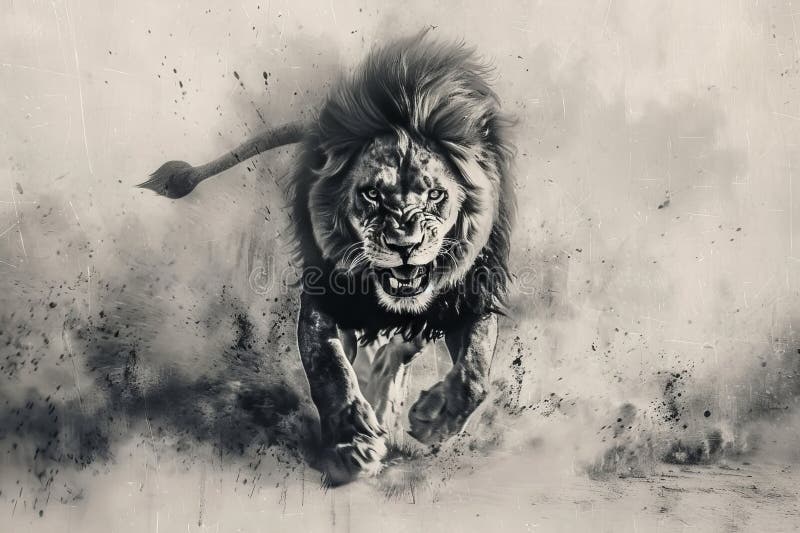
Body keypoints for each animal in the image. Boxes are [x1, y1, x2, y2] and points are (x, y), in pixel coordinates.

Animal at [139, 31, 516, 485]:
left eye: (435, 194)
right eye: (370, 194)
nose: (403, 245)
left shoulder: (471, 297)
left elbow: (474, 373)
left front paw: (433, 418)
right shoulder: (323, 301)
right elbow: (329, 368)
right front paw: (353, 441)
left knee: (402, 355)